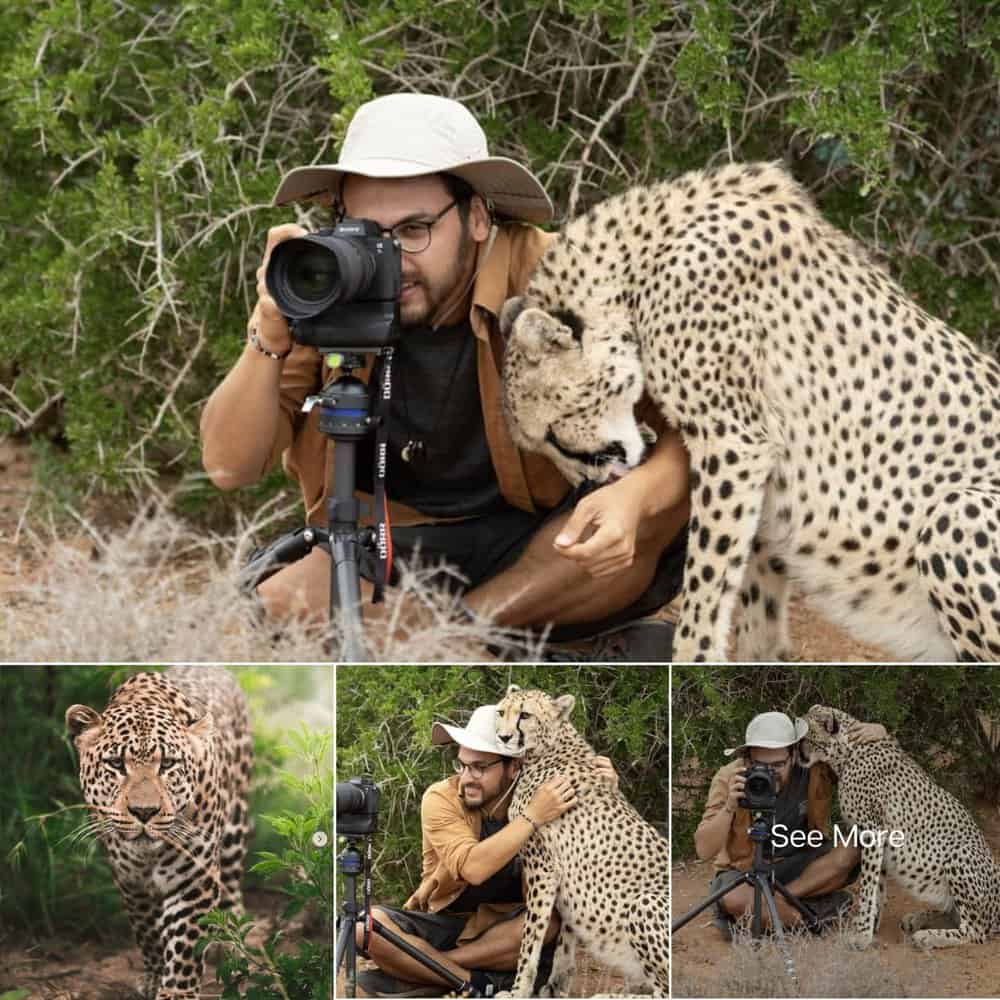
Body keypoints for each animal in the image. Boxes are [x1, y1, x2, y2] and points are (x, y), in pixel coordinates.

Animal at [66, 666, 253, 999]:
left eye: (167, 764)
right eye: (116, 764)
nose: (144, 812)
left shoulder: (194, 875)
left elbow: (186, 944)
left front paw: (177, 991)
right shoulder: (129, 879)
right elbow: (147, 930)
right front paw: (154, 976)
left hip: (234, 825)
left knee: (231, 886)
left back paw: (230, 942)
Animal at [492, 685, 668, 997]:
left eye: (525, 715)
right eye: (501, 712)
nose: (503, 737)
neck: (547, 749)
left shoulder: (542, 866)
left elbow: (530, 940)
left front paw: (518, 991)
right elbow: (565, 939)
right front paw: (556, 985)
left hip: (644, 902)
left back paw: (608, 996)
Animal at [499, 160, 1000, 663]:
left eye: (553, 436)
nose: (590, 485)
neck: (641, 261)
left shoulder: (732, 442)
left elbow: (705, 585)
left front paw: (693, 659)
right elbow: (758, 603)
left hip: (955, 514)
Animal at [799, 703, 1000, 949]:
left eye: (806, 738)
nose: (798, 754)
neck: (848, 751)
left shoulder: (873, 832)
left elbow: (867, 887)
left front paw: (862, 935)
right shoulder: (877, 838)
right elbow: (877, 887)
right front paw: (871, 927)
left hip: (959, 852)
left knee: (975, 931)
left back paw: (928, 936)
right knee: (956, 916)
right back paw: (917, 919)